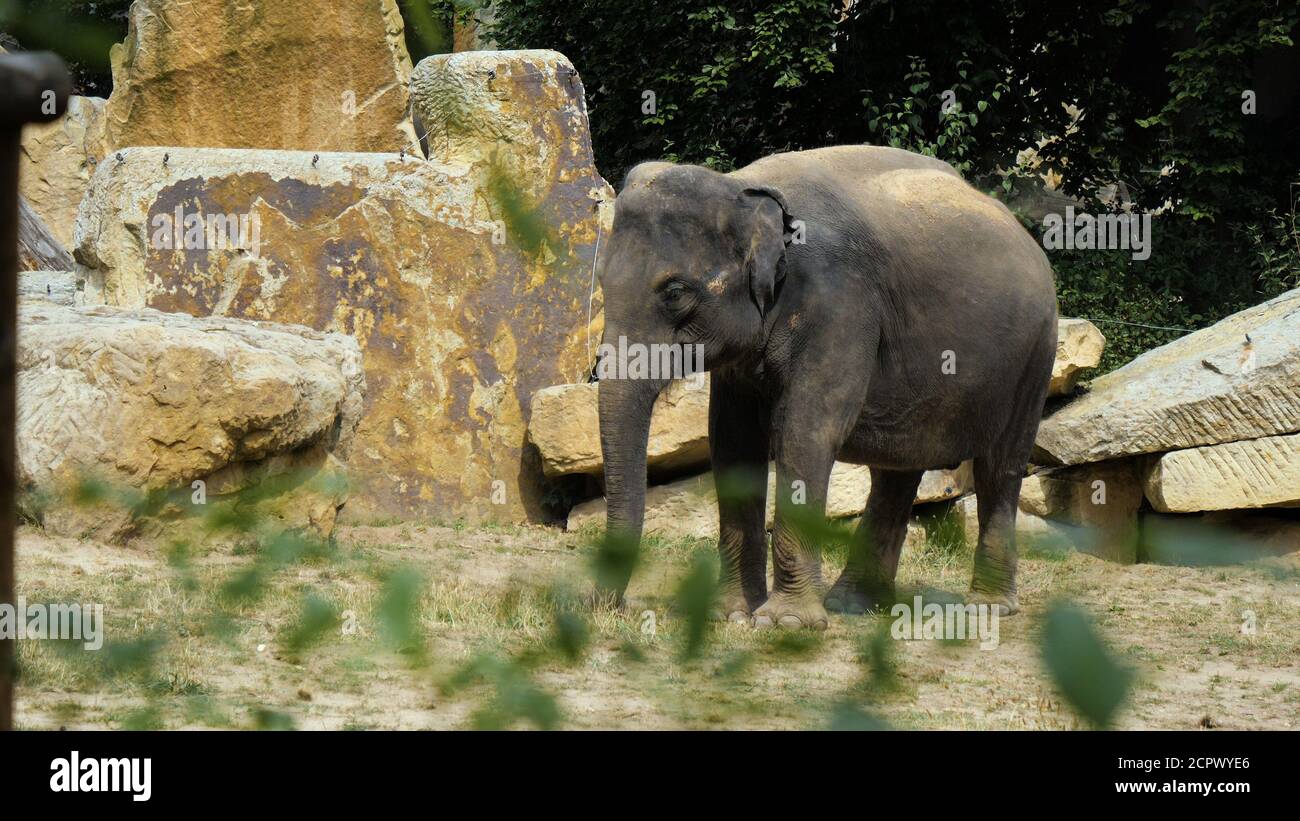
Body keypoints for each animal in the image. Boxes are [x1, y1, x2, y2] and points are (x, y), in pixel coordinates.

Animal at [594, 145, 1057, 630]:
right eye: (602, 283)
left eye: (675, 293)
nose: (611, 606)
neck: (740, 186)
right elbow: (732, 441)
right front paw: (731, 615)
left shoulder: (839, 302)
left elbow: (806, 432)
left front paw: (785, 622)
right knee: (896, 472)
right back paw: (852, 603)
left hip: (1035, 356)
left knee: (999, 469)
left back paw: (987, 607)